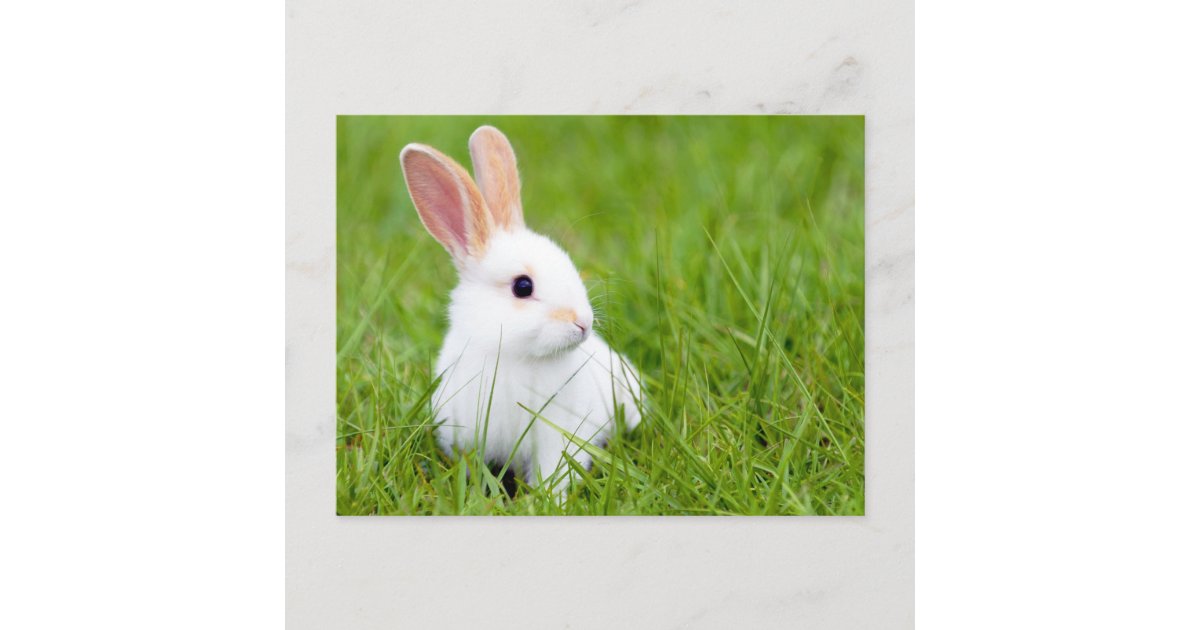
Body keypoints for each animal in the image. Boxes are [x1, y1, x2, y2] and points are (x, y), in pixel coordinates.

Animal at [399, 125, 643, 495]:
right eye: (523, 287)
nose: (583, 323)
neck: (513, 356)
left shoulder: (557, 436)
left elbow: (554, 471)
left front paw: (549, 500)